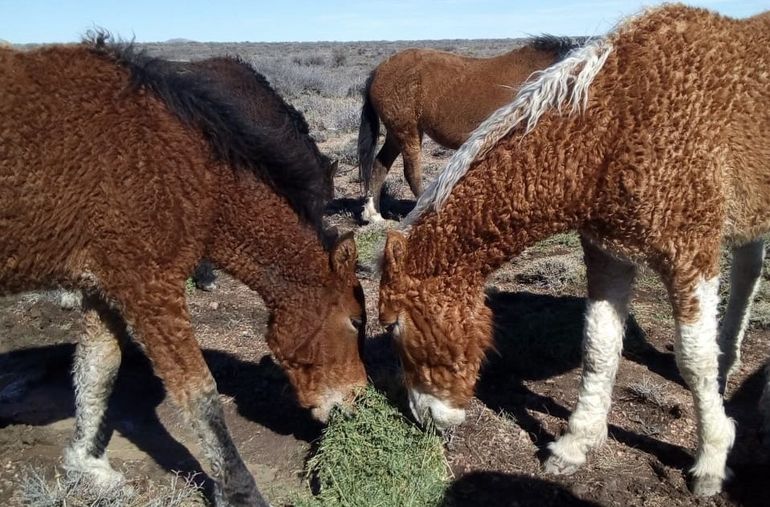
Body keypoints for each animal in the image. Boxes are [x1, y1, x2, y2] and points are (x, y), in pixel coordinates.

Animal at [0, 34, 365, 507]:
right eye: (355, 322)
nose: (358, 399)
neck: (194, 176)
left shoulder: (107, 286)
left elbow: (98, 366)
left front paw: (87, 463)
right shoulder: (151, 289)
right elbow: (199, 393)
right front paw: (240, 491)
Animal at [357, 36, 576, 222]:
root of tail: (378, 71)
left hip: (397, 134)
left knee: (379, 165)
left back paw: (374, 215)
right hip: (407, 132)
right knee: (411, 173)